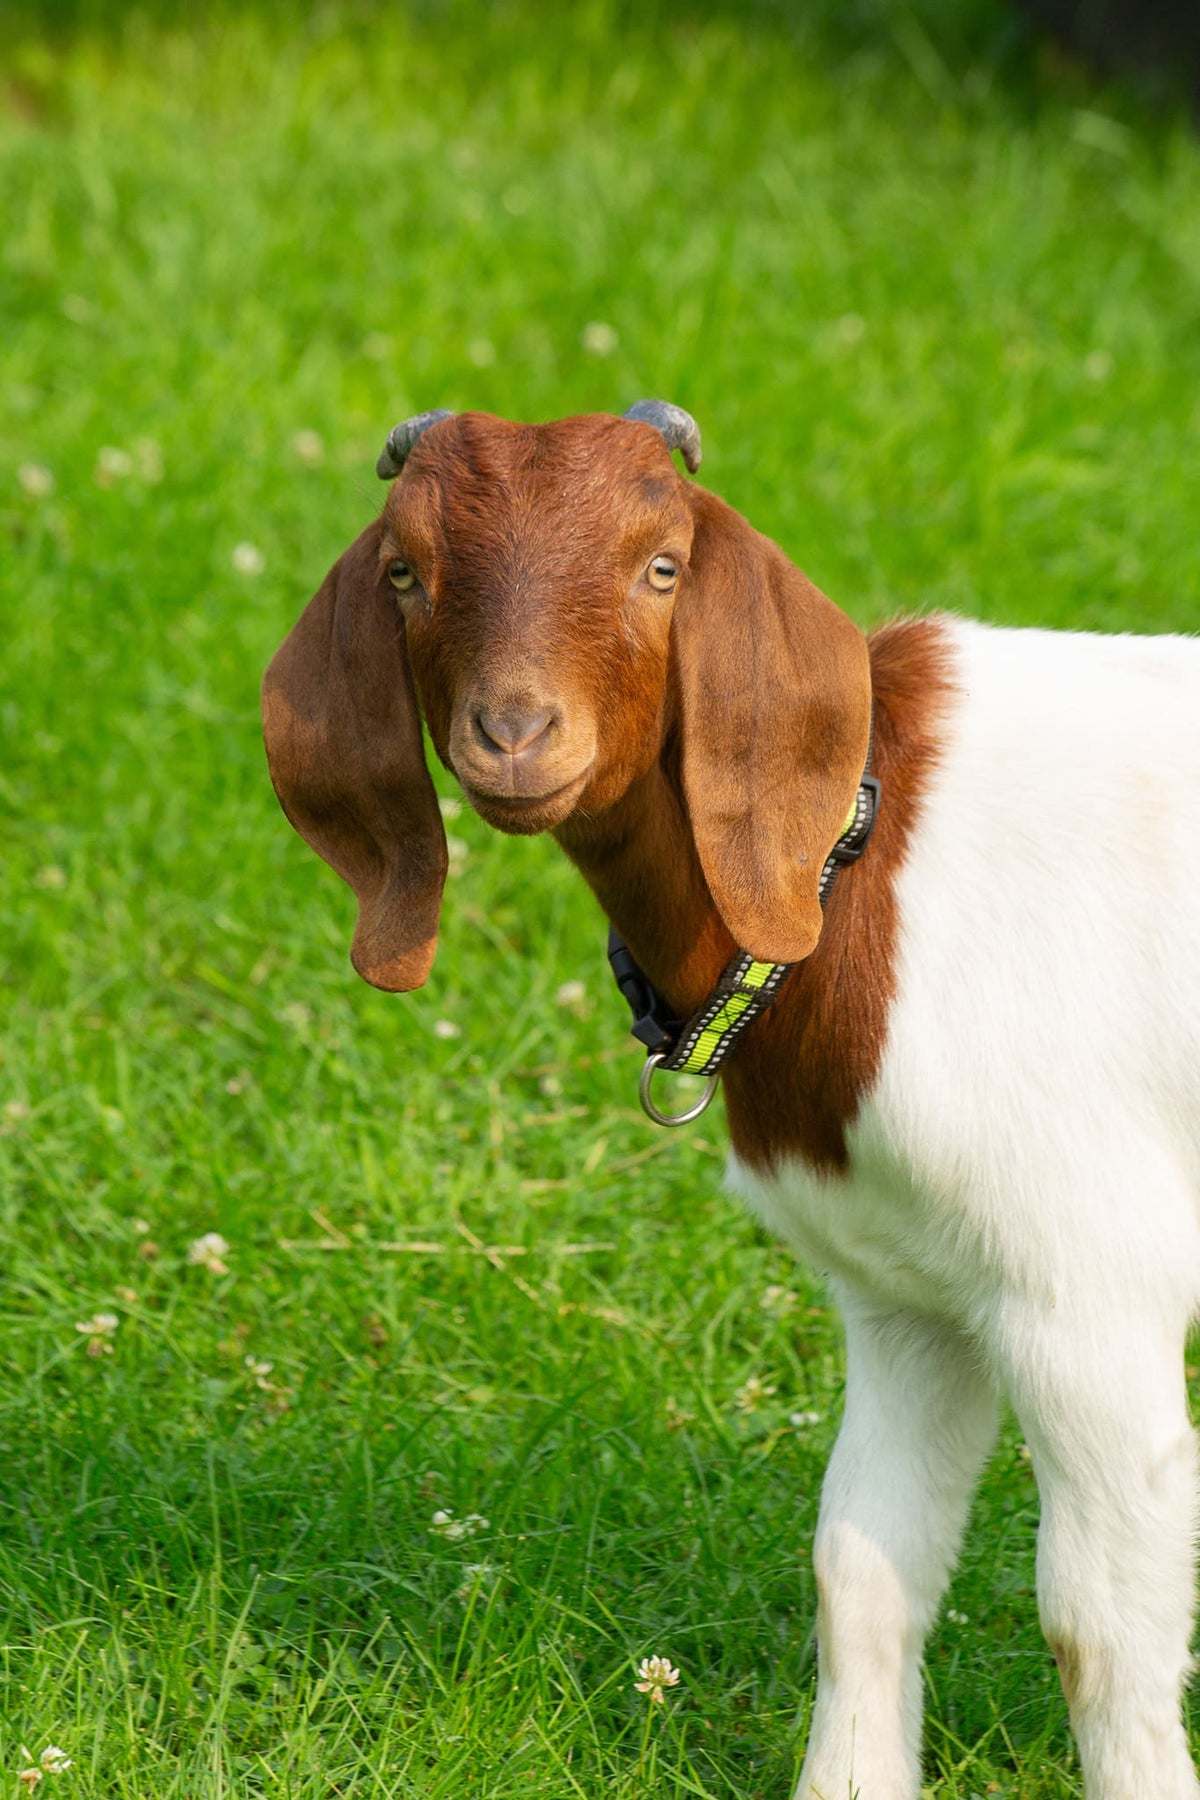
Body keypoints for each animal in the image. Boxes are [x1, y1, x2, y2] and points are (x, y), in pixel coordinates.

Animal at [263, 404, 1200, 1800]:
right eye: (405, 571)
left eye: (661, 566)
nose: (515, 734)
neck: (850, 862)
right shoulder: (906, 1294)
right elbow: (861, 1571)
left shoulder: (1083, 1288)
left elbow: (1100, 1625)